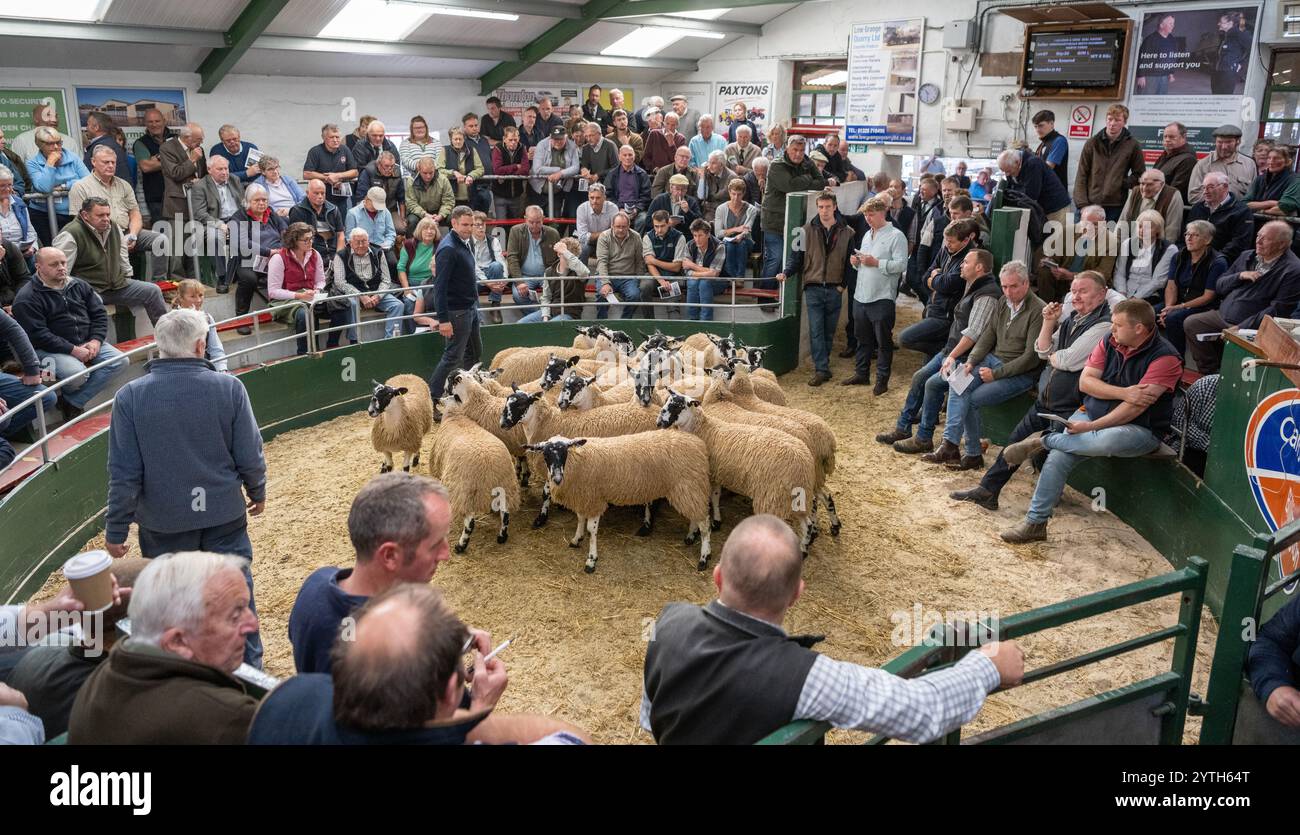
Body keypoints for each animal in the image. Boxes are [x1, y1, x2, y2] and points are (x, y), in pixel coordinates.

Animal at [430, 397, 521, 552]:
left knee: (470, 523)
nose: (436, 399)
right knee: (505, 514)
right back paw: (502, 537)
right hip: (506, 486)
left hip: (465, 490)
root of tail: (490, 464)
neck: (456, 416)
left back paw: (461, 546)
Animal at [523, 432, 713, 572]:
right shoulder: (584, 497)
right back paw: (690, 537)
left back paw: (704, 557)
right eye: (546, 455)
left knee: (705, 524)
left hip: (689, 486)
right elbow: (580, 519)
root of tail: (699, 444)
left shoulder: (594, 499)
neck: (578, 461)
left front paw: (591, 560)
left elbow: (591, 530)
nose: (556, 478)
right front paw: (576, 539)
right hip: (690, 490)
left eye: (564, 452)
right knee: (696, 516)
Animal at [656, 387, 817, 552]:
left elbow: (711, 498)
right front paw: (717, 521)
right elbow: (716, 496)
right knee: (807, 524)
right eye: (666, 402)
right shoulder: (717, 473)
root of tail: (803, 461)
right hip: (797, 495)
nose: (659, 422)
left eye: (677, 406)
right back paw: (804, 548)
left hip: (772, 497)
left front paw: (701, 528)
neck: (704, 430)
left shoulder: (710, 475)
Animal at [717, 361, 840, 536]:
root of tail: (828, 441)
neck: (745, 396)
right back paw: (834, 525)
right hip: (816, 474)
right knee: (824, 495)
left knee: (813, 502)